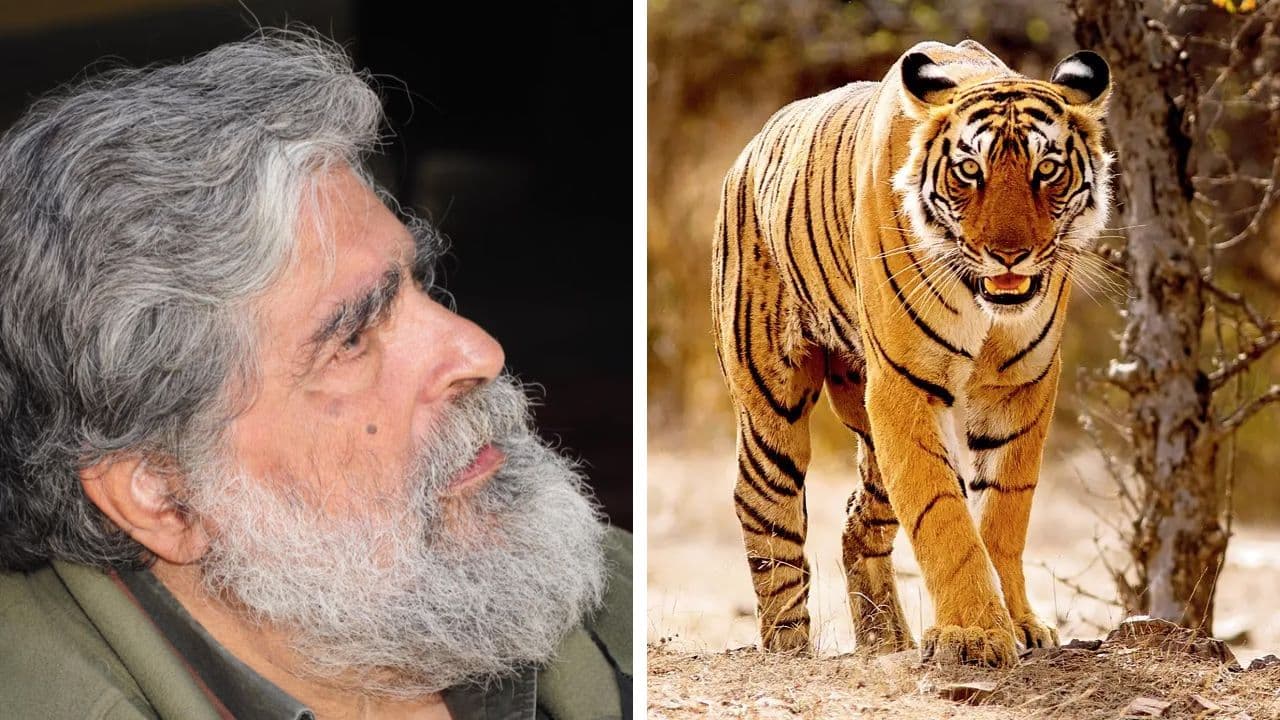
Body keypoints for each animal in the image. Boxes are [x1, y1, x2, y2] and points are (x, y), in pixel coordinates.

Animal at [711, 39, 1112, 666]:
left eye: (1046, 169)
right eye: (969, 171)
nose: (1009, 255)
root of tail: (751, 148)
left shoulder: (1021, 385)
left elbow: (1003, 512)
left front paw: (1019, 623)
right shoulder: (905, 386)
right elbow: (942, 513)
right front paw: (974, 633)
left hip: (868, 433)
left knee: (859, 521)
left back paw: (884, 640)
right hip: (771, 404)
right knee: (765, 511)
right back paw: (789, 648)